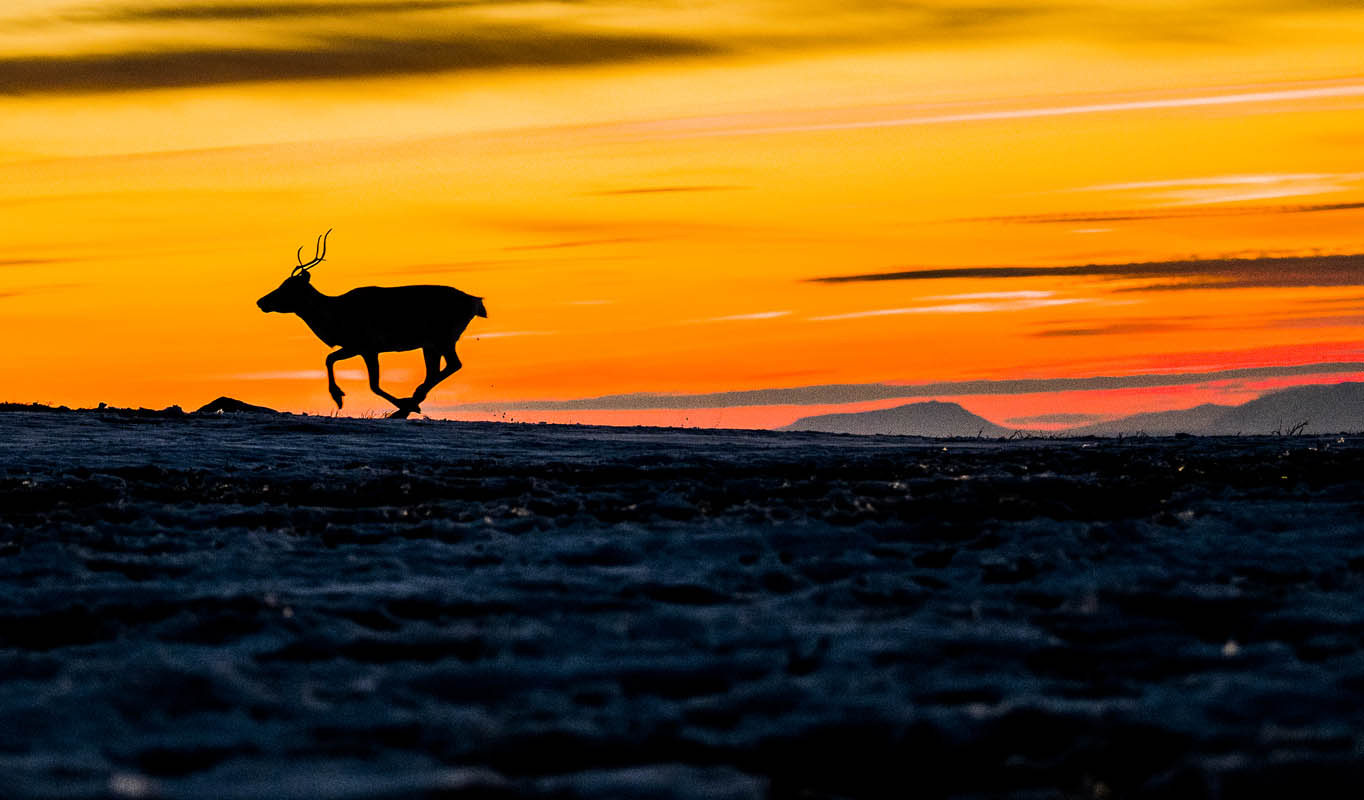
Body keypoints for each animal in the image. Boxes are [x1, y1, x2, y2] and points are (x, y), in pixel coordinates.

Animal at [257, 230, 486, 419]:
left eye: (288, 287)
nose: (261, 301)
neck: (334, 320)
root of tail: (476, 302)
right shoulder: (359, 347)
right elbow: (332, 360)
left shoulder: (367, 345)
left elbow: (370, 383)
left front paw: (338, 397)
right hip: (430, 343)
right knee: (435, 371)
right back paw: (410, 403)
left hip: (444, 336)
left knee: (453, 365)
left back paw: (407, 406)